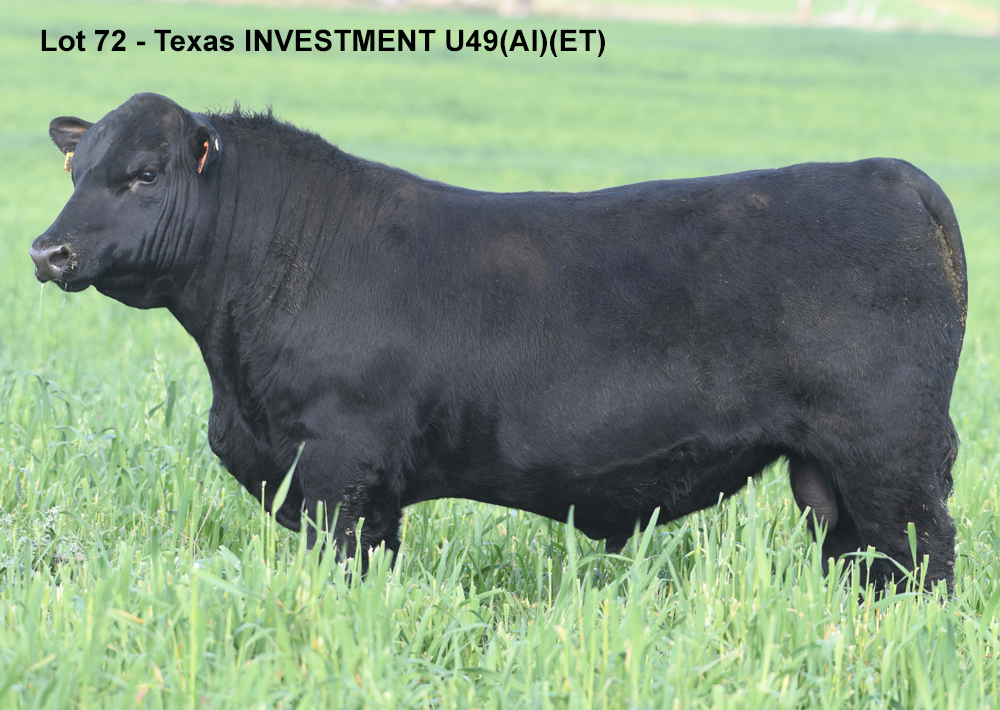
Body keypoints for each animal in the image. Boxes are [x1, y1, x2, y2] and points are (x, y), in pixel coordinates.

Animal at [31, 93, 966, 591]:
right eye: (76, 171)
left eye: (144, 174)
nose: (49, 251)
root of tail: (889, 174)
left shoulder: (339, 466)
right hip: (828, 473)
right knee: (862, 560)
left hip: (891, 453)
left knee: (927, 560)